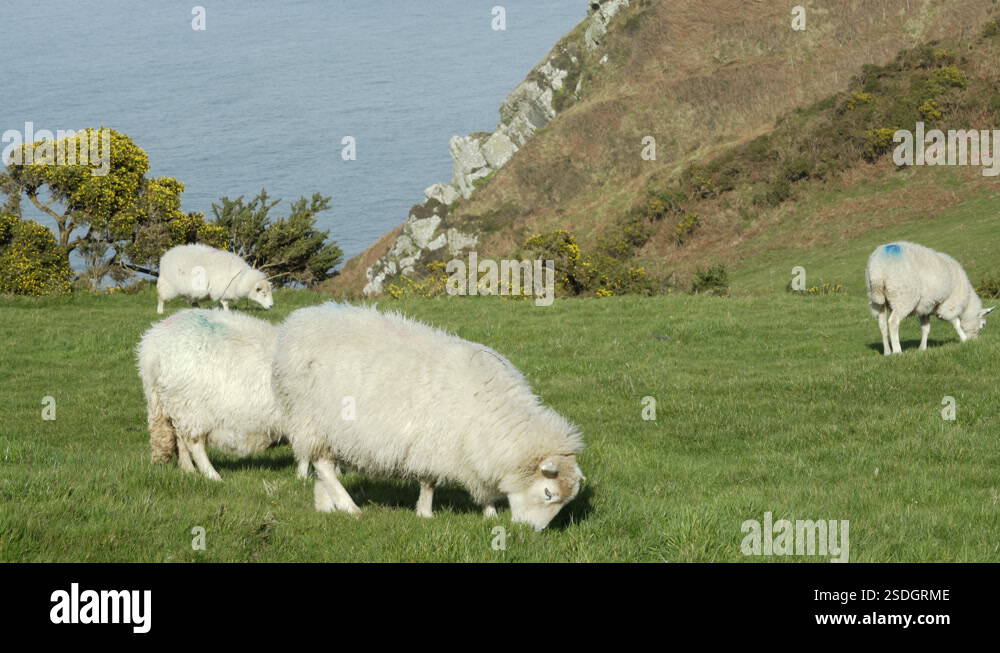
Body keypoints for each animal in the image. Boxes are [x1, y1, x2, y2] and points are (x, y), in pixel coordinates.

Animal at [137, 309, 304, 480]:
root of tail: (152, 345)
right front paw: (302, 477)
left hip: (175, 407)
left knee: (180, 439)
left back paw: (189, 470)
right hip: (190, 408)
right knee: (194, 444)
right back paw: (212, 475)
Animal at [272, 303, 586, 531]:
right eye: (548, 494)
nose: (533, 532)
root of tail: (297, 323)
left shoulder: (470, 453)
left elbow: (481, 487)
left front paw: (490, 514)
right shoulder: (434, 444)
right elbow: (429, 482)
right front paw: (425, 513)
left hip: (327, 429)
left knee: (323, 465)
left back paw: (326, 505)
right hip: (309, 417)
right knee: (324, 465)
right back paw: (349, 507)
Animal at [866, 241, 994, 355]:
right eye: (983, 325)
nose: (975, 342)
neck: (966, 304)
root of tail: (878, 268)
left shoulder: (925, 307)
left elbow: (926, 328)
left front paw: (922, 348)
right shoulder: (949, 304)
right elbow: (956, 322)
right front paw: (964, 339)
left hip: (878, 301)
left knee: (882, 325)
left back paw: (887, 352)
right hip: (903, 298)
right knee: (893, 322)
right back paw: (898, 351)